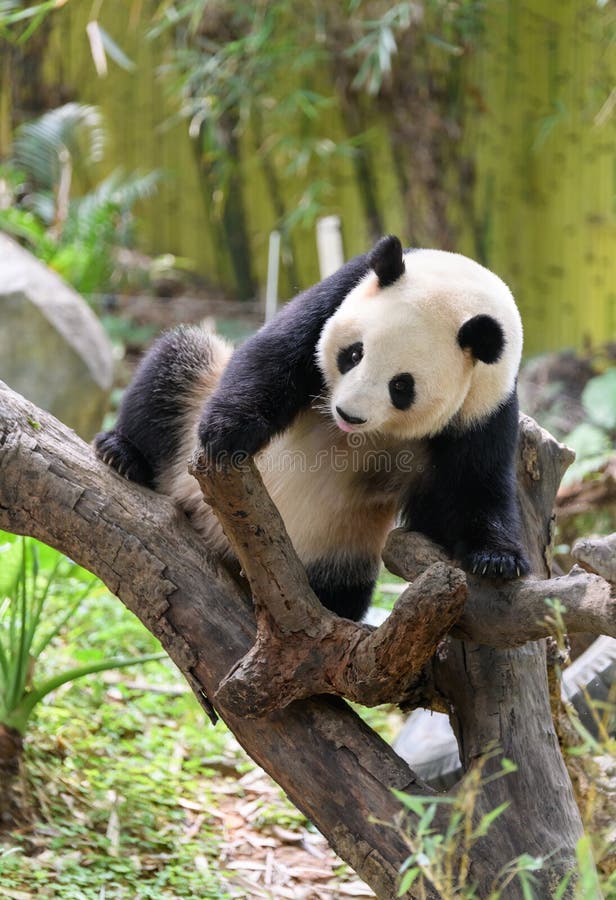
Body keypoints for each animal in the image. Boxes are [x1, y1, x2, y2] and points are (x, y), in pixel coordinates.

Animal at [95, 235, 529, 621]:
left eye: (402, 386)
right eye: (353, 353)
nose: (349, 415)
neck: (464, 283)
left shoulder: (485, 405)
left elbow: (471, 486)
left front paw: (497, 559)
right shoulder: (341, 290)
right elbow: (275, 354)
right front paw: (228, 433)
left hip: (340, 551)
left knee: (345, 591)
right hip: (191, 410)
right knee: (173, 367)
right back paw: (122, 454)